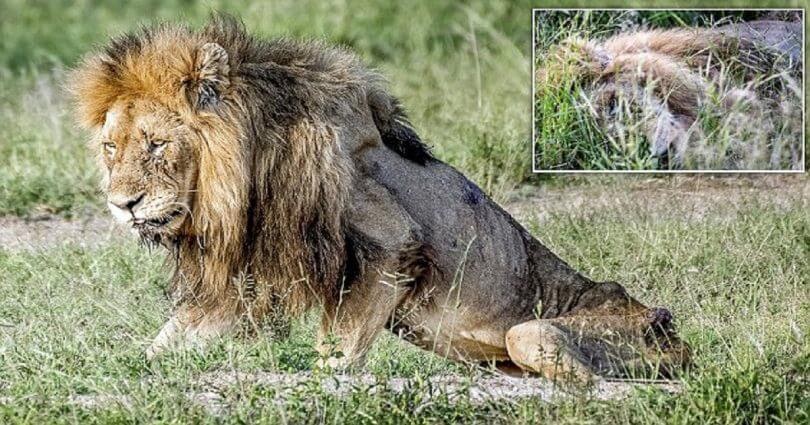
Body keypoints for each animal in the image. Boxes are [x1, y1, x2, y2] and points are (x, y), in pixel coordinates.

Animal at [70, 15, 689, 381]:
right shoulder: (246, 272)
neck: (250, 169)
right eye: (110, 147)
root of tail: (674, 332)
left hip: (549, 332)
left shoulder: (391, 244)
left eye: (156, 144)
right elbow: (166, 341)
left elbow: (336, 350)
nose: (122, 205)